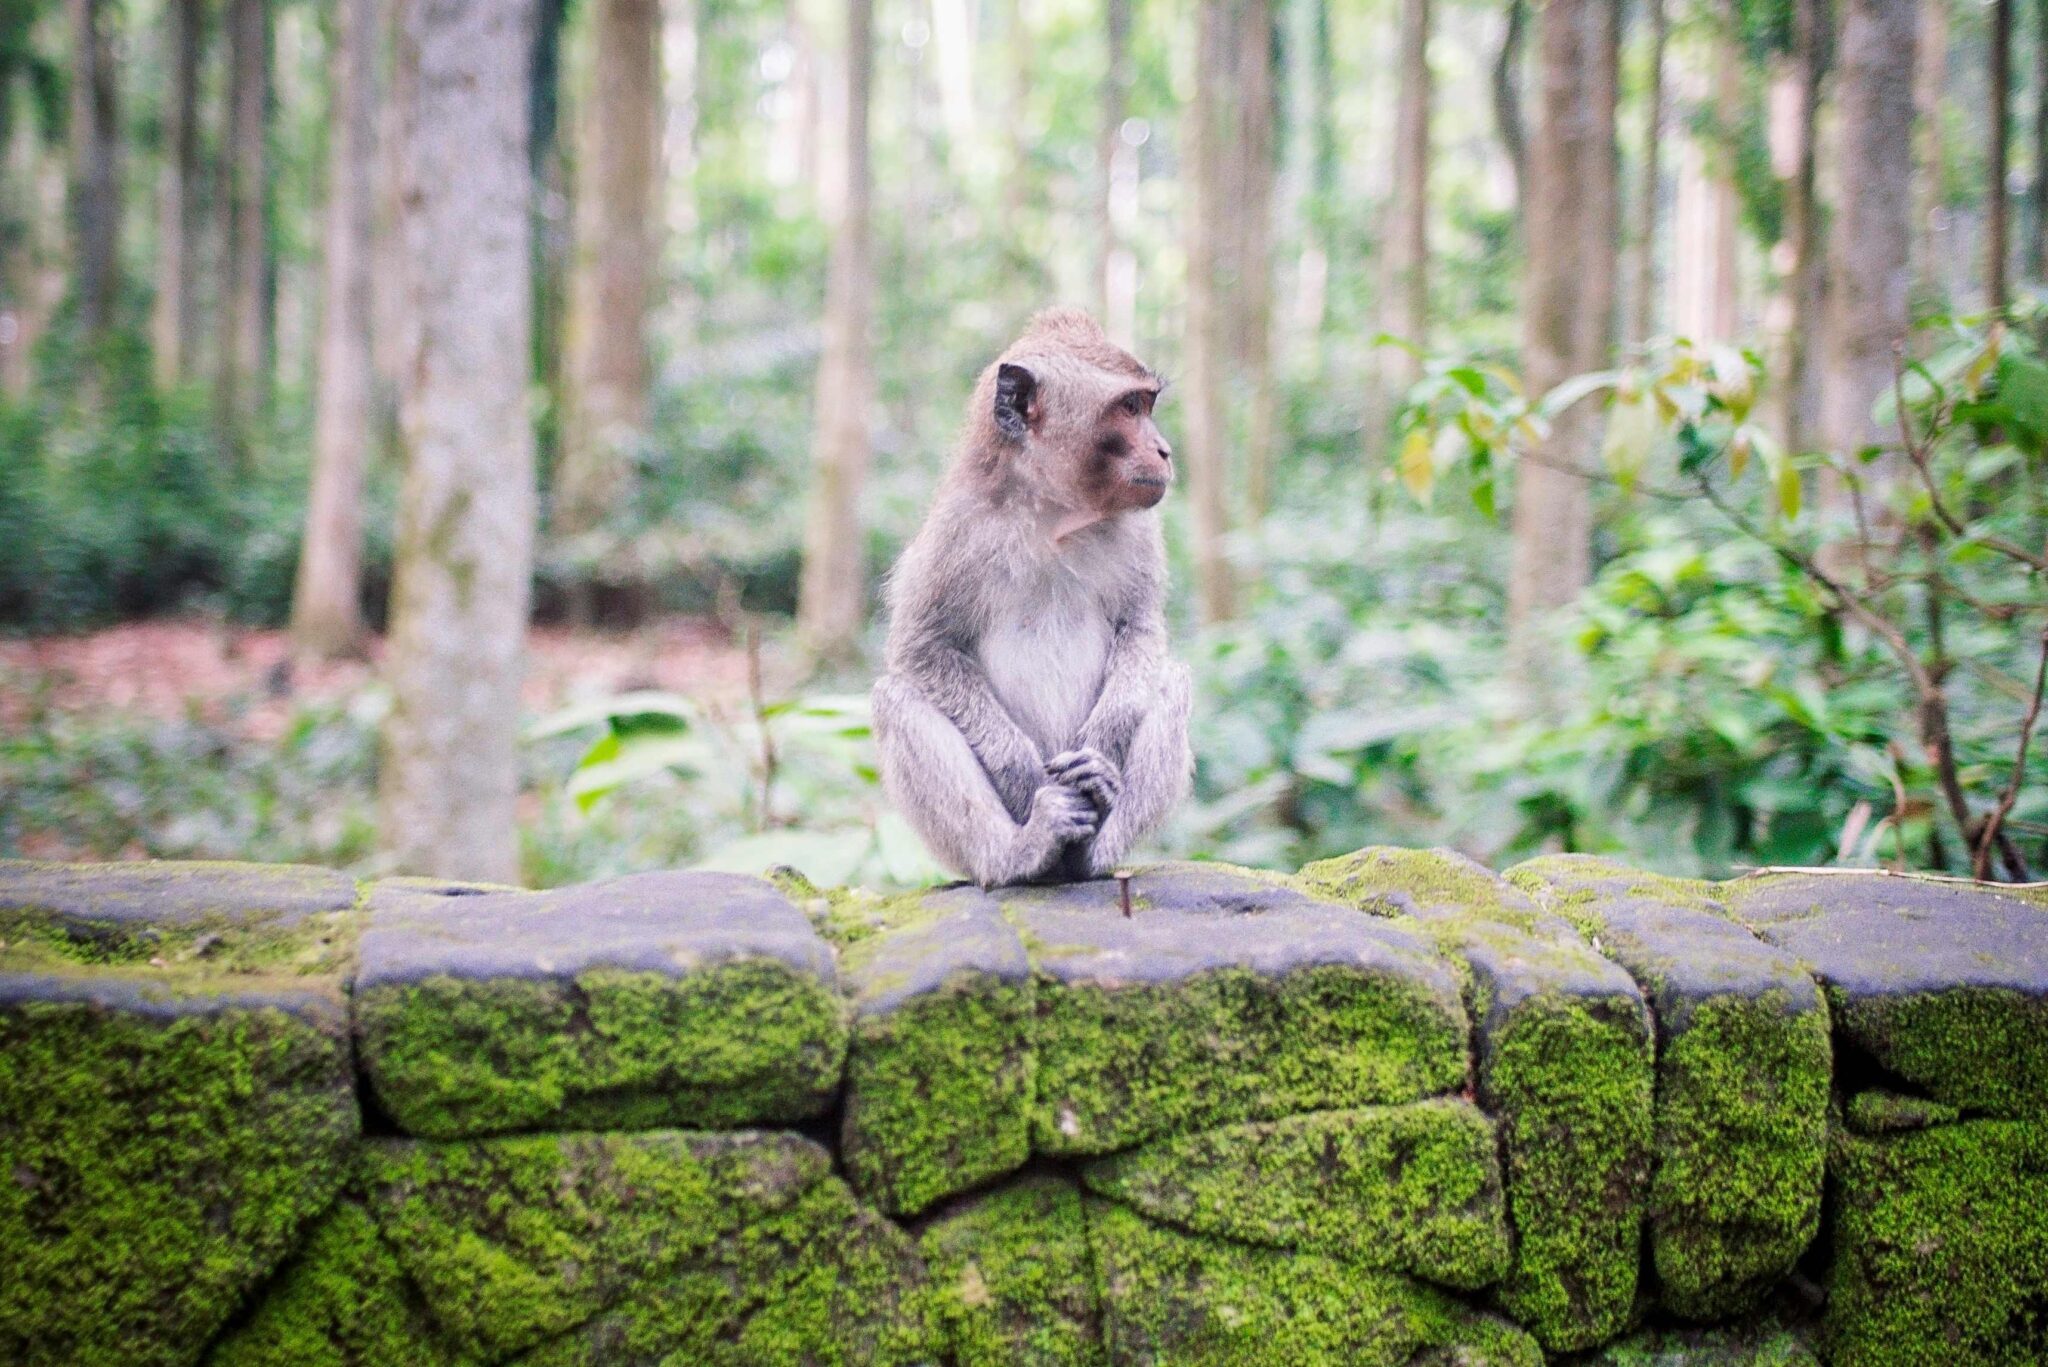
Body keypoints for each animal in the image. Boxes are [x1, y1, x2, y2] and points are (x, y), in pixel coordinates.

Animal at [871, 308, 1192, 888]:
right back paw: (1021, 852)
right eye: (1129, 408)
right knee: (897, 699)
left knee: (1171, 680)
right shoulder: (957, 529)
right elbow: (922, 648)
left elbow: (1139, 626)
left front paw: (1102, 749)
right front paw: (1022, 774)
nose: (1164, 451)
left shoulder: (1141, 531)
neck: (1053, 512)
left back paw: (1095, 849)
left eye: (1145, 405)